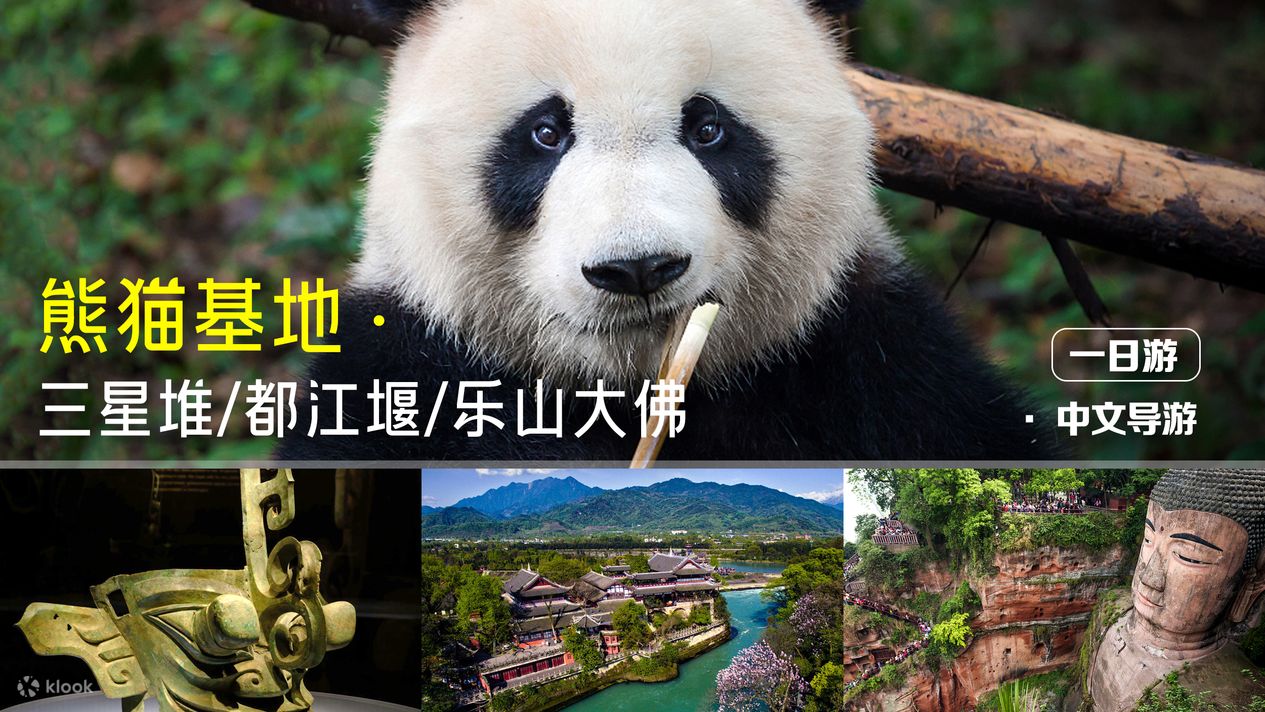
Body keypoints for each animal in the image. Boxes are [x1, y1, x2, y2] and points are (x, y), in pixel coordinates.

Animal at [278, 0, 1061, 461]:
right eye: (545, 132)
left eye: (708, 127)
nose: (637, 269)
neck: (622, 394)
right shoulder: (398, 375)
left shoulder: (873, 361)